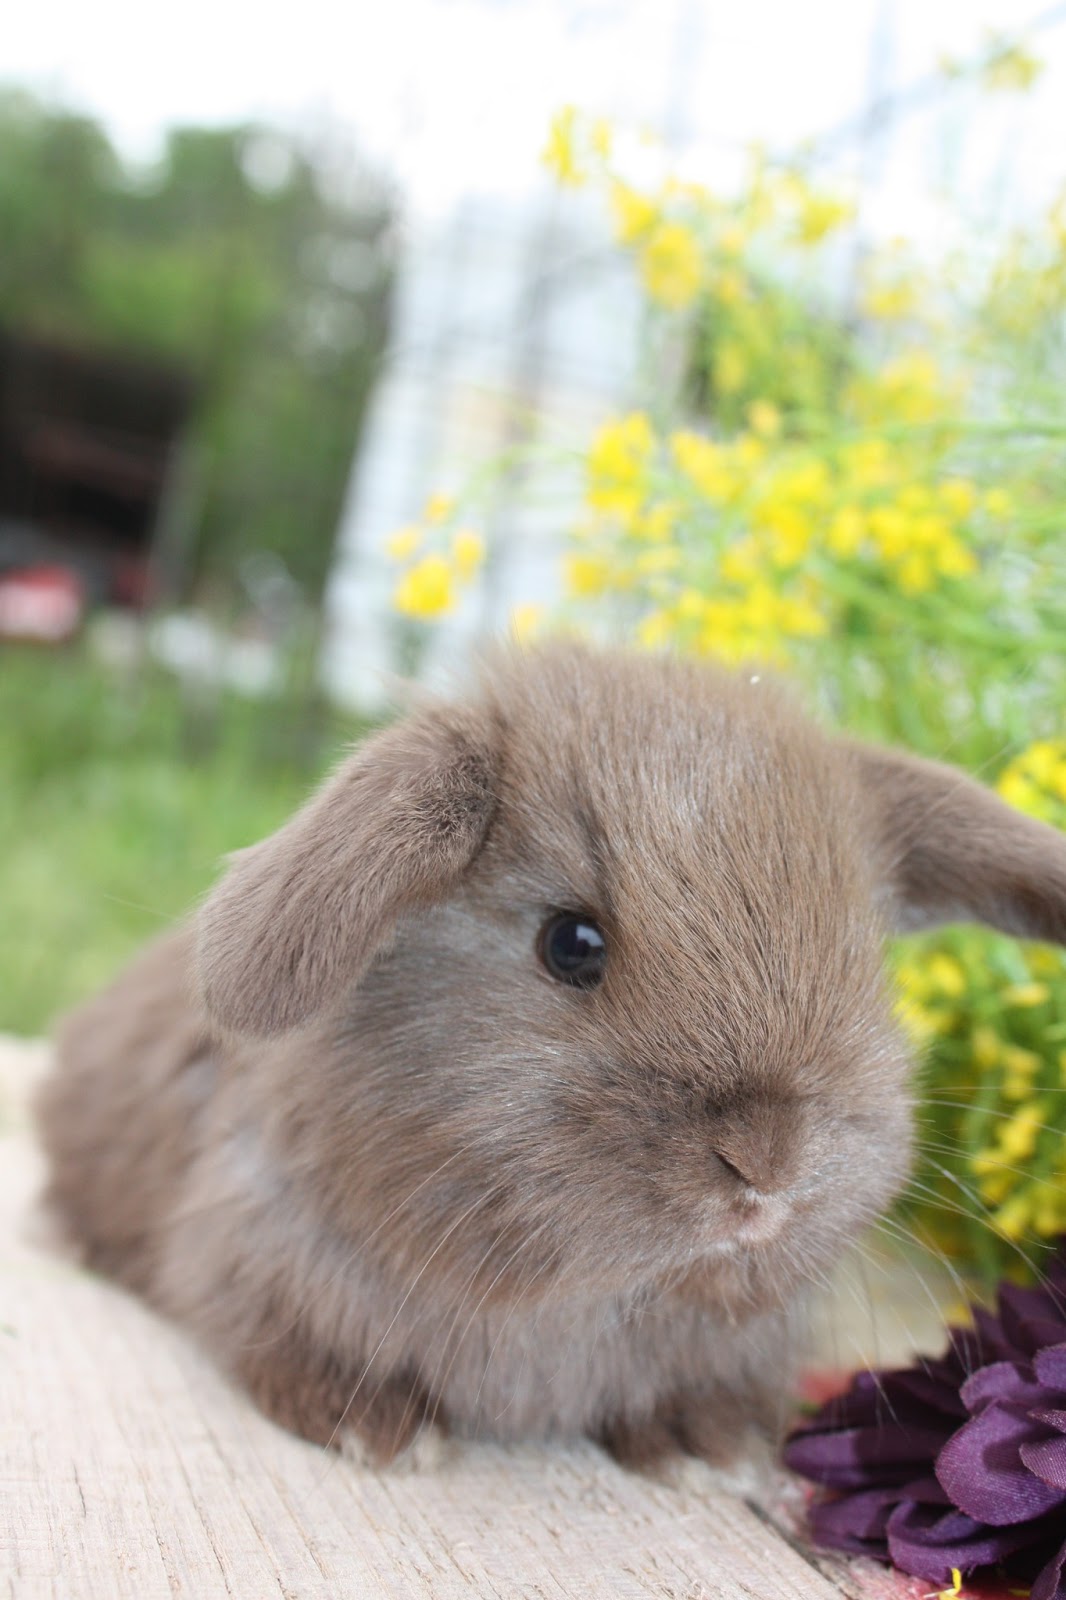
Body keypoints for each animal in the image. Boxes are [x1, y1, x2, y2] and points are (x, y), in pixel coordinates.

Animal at [35, 643, 1066, 1471]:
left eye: (867, 960)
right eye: (571, 943)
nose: (769, 1165)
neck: (588, 1302)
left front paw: (705, 1447)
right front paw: (379, 1434)